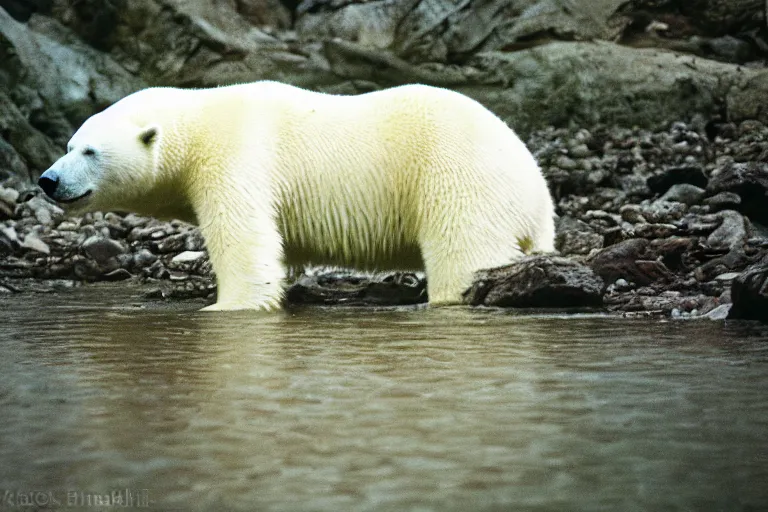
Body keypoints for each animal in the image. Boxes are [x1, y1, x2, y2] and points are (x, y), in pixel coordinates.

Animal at [38, 81, 555, 311]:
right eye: (68, 144)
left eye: (89, 151)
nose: (48, 180)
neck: (201, 122)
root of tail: (533, 180)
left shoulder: (238, 155)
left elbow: (244, 240)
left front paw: (224, 306)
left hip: (459, 176)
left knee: (463, 251)